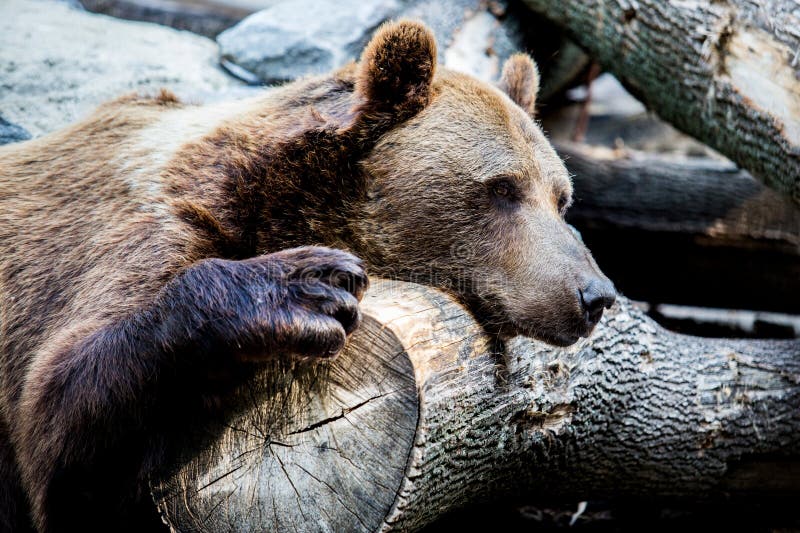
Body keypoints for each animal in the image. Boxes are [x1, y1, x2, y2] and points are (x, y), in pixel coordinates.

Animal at [0, 20, 615, 533]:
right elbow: (60, 422)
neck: (285, 202)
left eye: (562, 198)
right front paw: (307, 286)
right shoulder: (149, 225)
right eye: (502, 188)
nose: (595, 295)